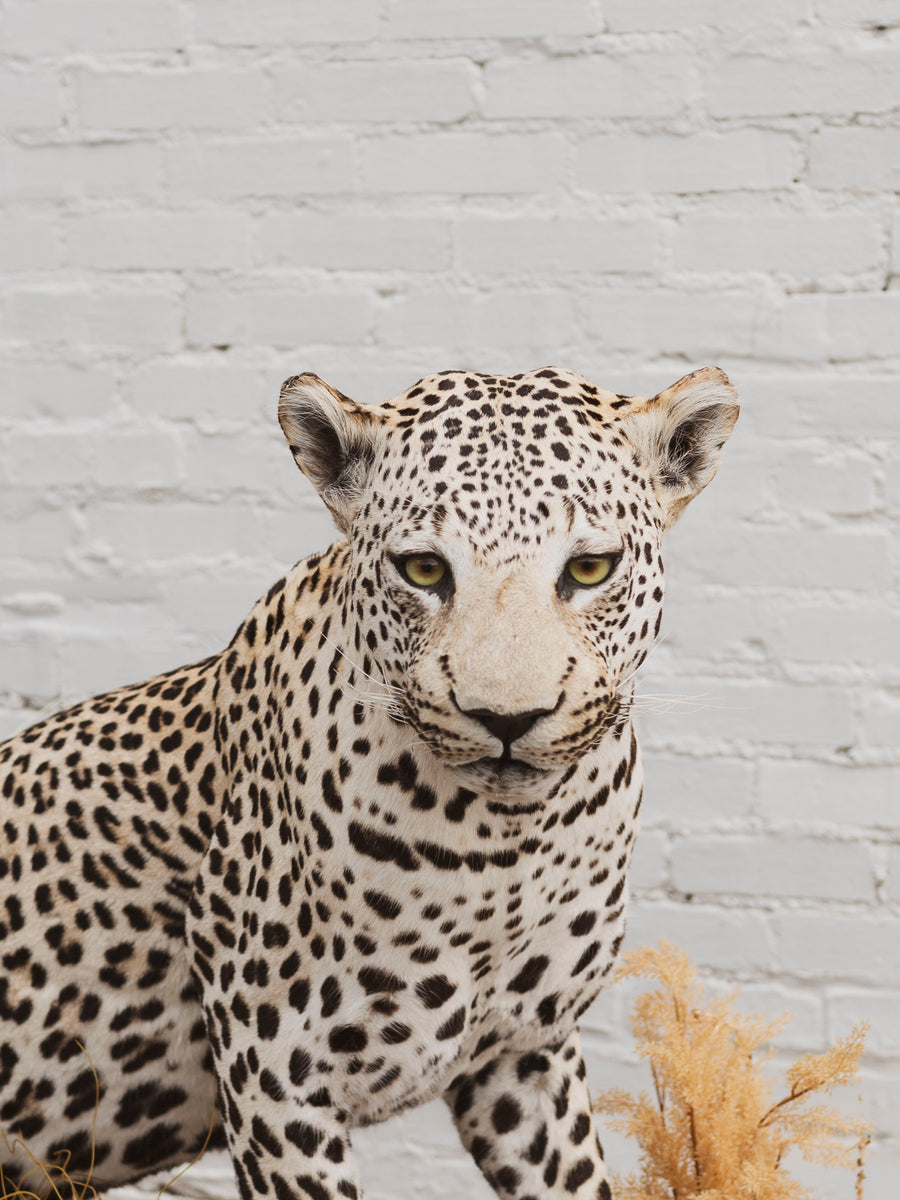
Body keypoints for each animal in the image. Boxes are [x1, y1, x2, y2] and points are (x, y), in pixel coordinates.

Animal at [0, 364, 738, 1200]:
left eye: (588, 570)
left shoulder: (528, 1053)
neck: (506, 856)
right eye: (423, 569)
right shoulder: (277, 1077)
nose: (507, 718)